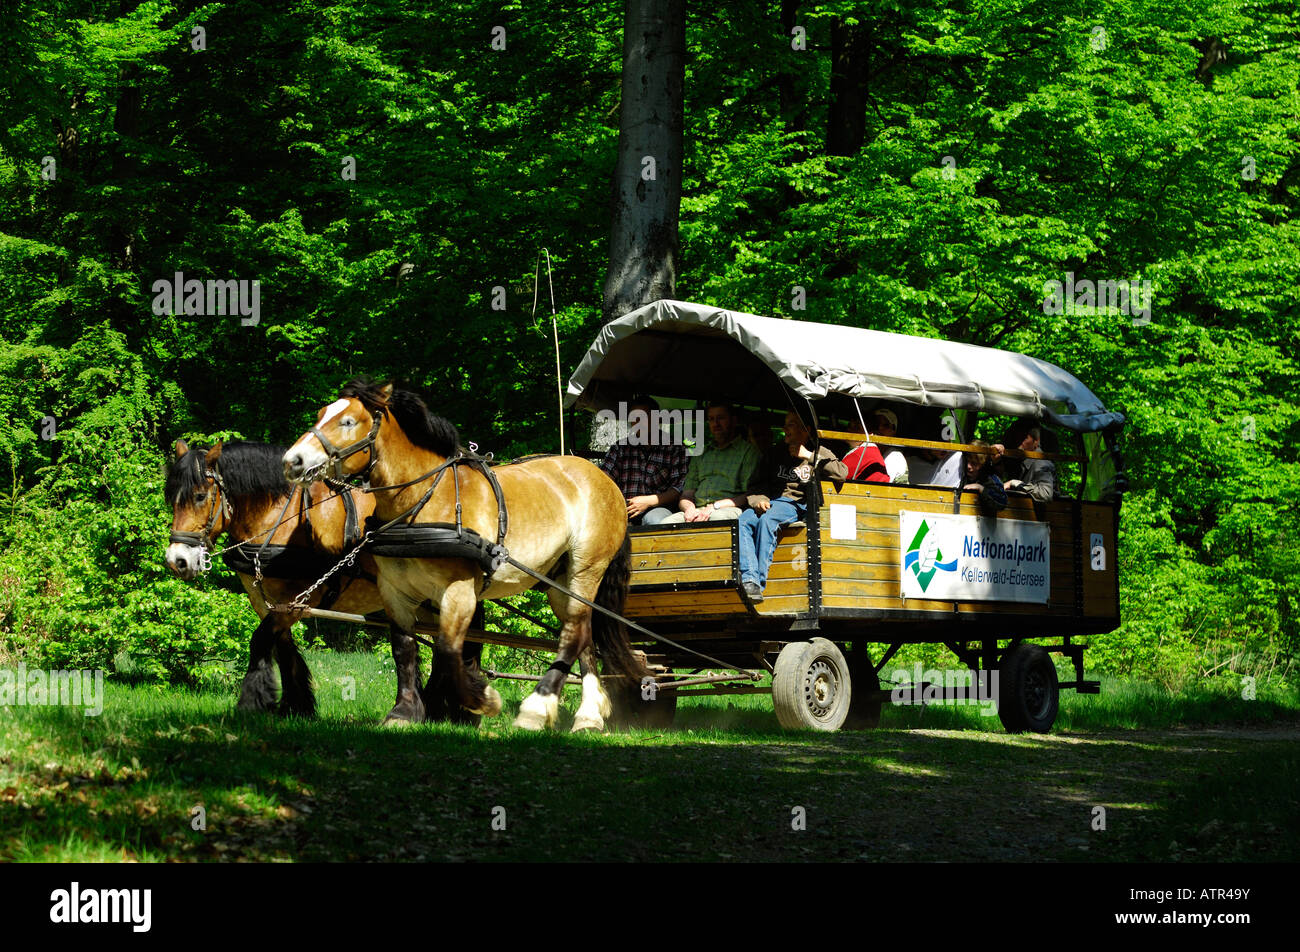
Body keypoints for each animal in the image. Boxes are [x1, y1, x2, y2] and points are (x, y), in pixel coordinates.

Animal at [165, 438, 483, 721]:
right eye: (171, 498)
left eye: (200, 496)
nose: (177, 560)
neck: (283, 518)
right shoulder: (267, 601)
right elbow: (283, 649)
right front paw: (295, 705)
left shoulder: (302, 596)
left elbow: (260, 640)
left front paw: (253, 701)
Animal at [281, 380, 650, 731]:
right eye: (321, 414)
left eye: (347, 421)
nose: (292, 461)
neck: (424, 501)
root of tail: (602, 476)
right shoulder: (394, 591)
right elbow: (404, 648)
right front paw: (403, 712)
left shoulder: (458, 591)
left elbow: (447, 650)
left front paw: (480, 700)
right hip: (559, 581)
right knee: (583, 634)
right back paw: (589, 715)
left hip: (585, 569)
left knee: (574, 636)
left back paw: (536, 707)